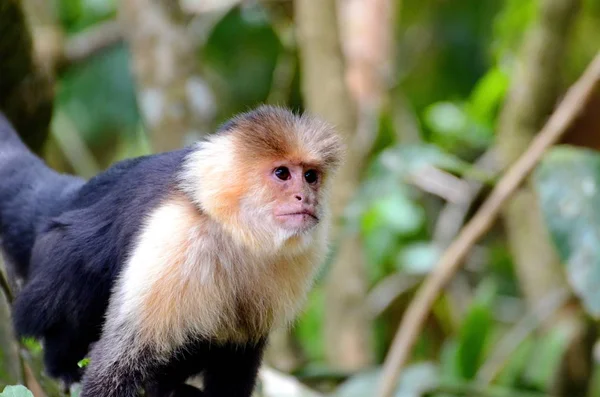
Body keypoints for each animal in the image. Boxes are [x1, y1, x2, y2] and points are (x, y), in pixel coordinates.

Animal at [0, 106, 344, 396]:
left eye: (310, 176)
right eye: (282, 174)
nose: (306, 197)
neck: (233, 233)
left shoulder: (298, 259)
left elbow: (239, 351)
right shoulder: (175, 236)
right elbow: (115, 366)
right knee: (79, 264)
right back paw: (62, 364)